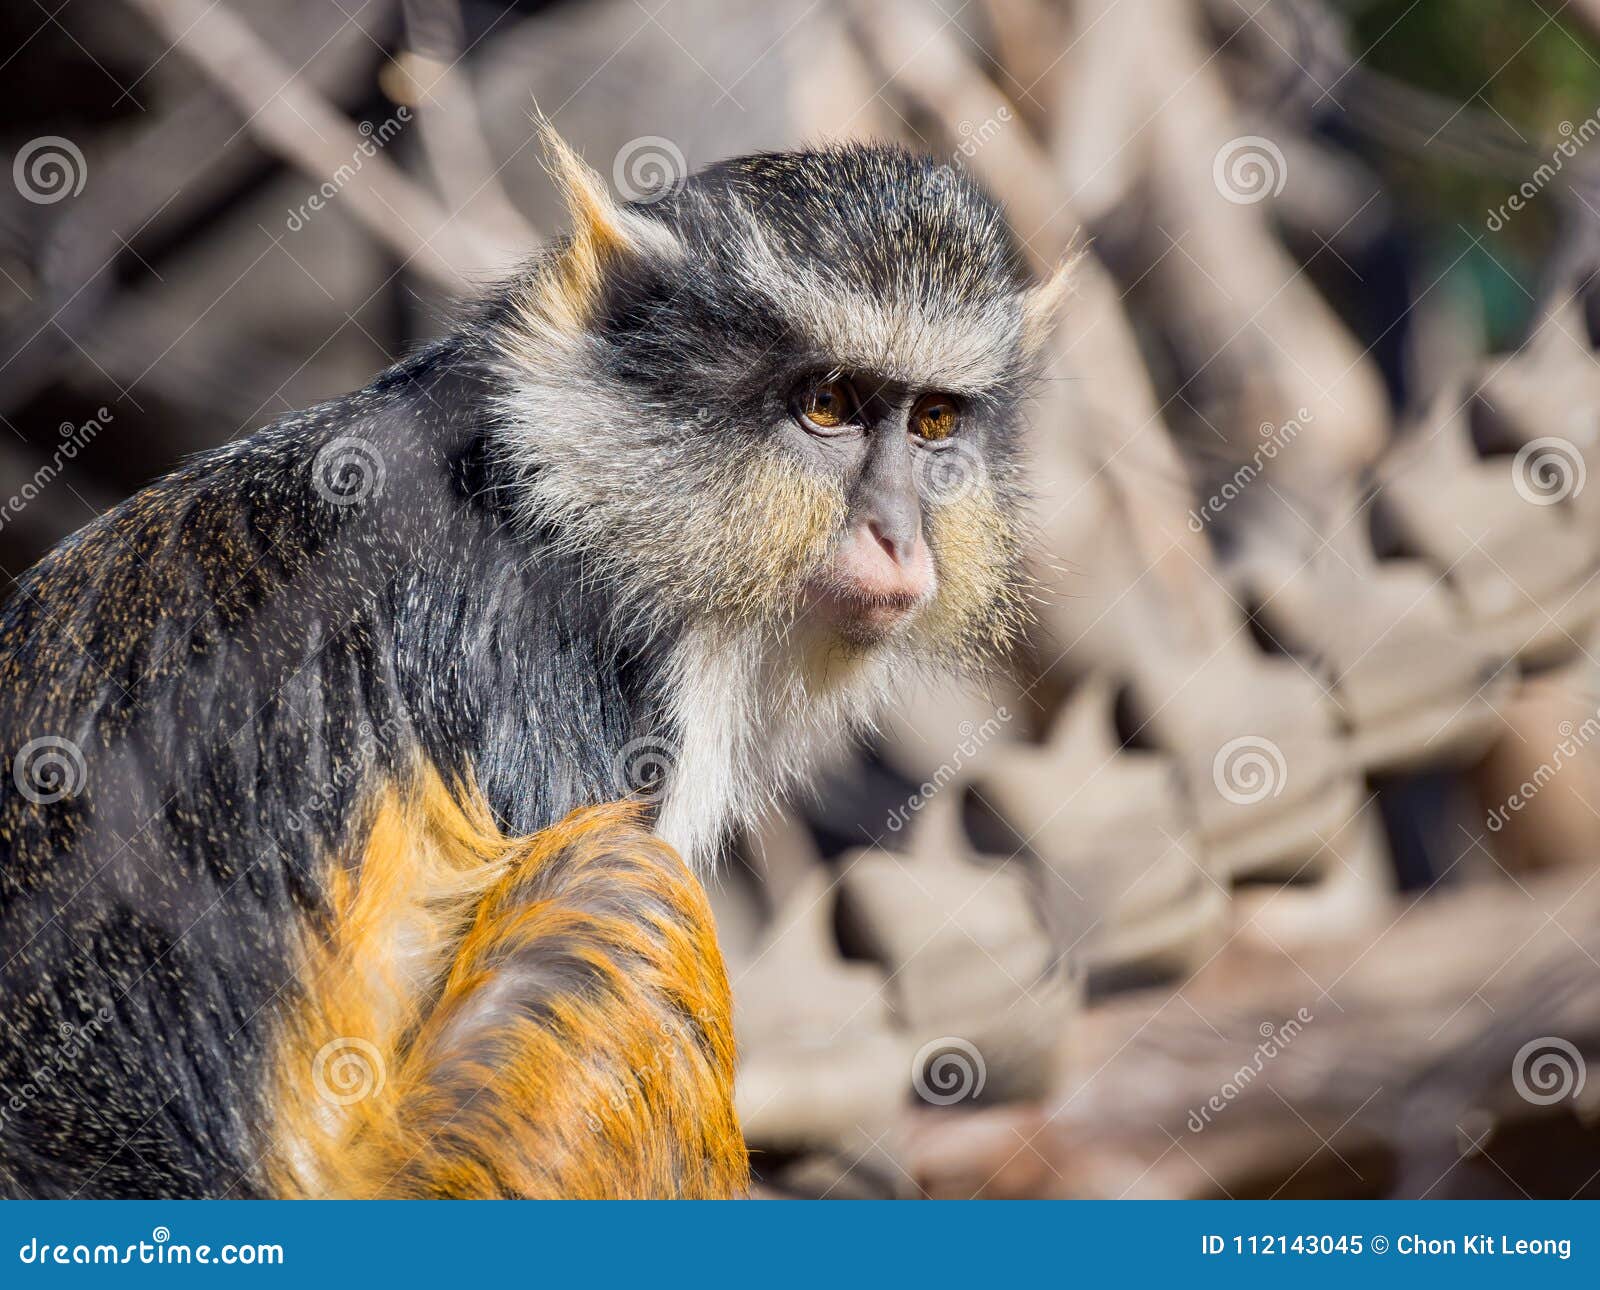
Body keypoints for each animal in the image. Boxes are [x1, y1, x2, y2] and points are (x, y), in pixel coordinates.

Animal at [0, 132, 1070, 1198]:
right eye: (829, 404)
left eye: (934, 423)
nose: (897, 535)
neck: (561, 490)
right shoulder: (561, 678)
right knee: (617, 886)